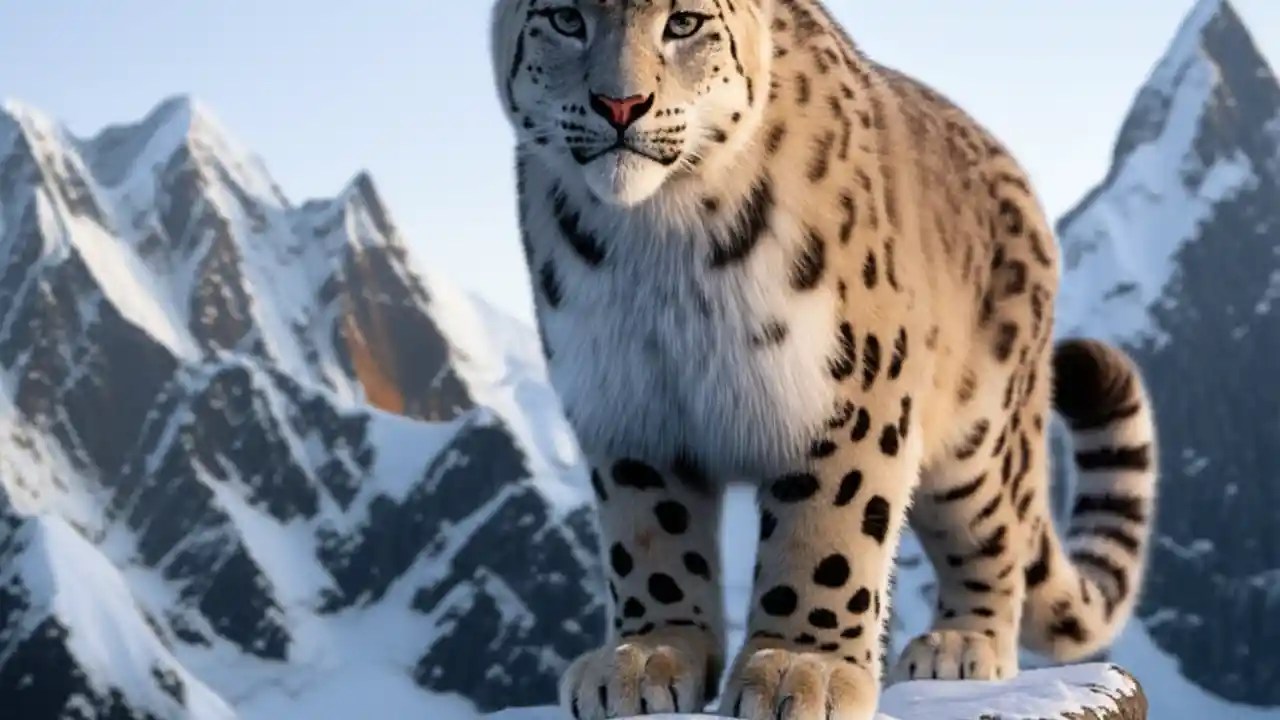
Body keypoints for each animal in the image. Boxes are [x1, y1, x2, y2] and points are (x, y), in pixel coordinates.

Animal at [488, 1, 1160, 718]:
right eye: (566, 19)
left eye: (685, 23)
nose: (620, 104)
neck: (657, 239)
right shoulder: (627, 400)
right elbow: (651, 535)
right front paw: (645, 657)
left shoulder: (850, 384)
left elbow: (829, 529)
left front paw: (798, 665)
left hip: (981, 442)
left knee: (996, 537)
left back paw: (961, 646)